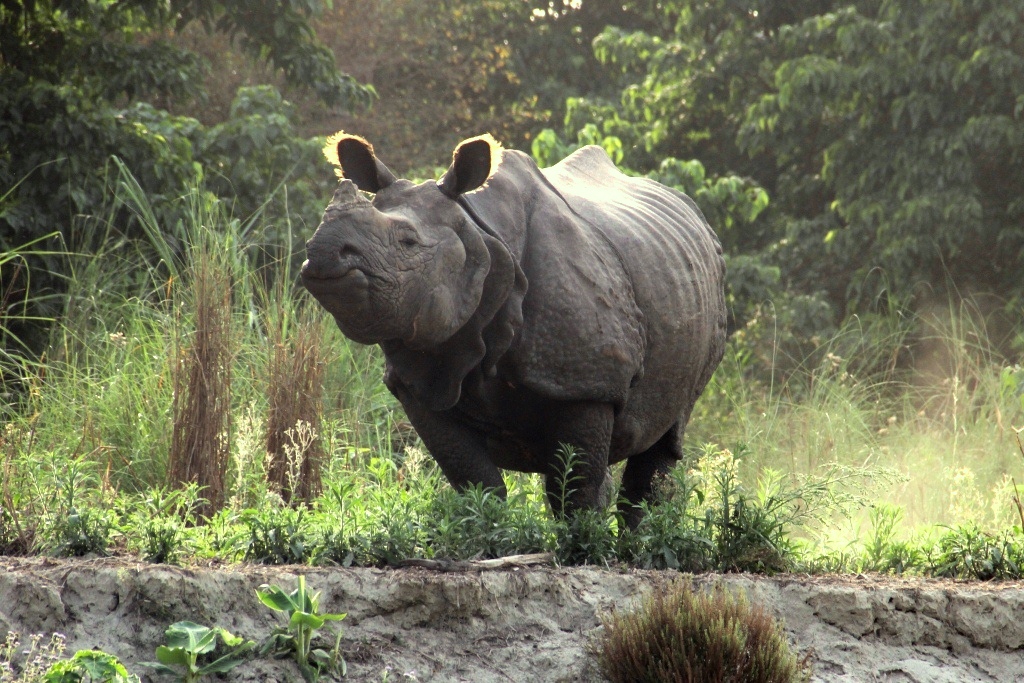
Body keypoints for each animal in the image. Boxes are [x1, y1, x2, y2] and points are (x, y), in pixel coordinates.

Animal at [301, 133, 726, 528]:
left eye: (408, 242)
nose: (323, 252)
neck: (481, 236)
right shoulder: (423, 380)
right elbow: (476, 481)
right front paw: (491, 533)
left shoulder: (586, 382)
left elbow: (576, 491)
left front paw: (583, 546)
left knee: (666, 434)